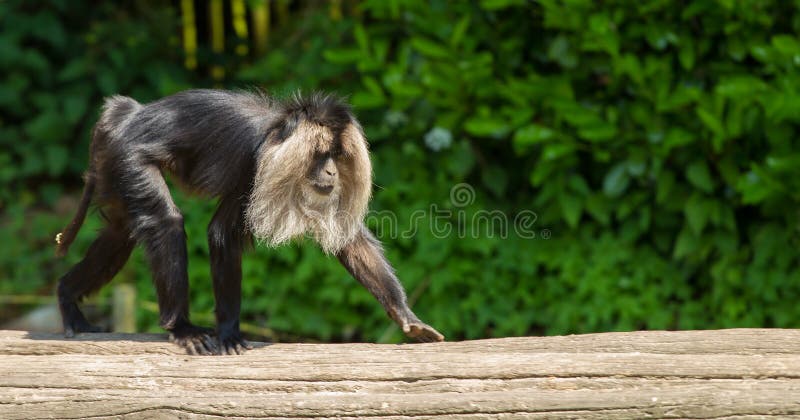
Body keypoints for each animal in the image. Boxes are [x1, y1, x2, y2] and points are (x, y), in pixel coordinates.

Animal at [54, 89, 444, 355]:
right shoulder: (254, 165)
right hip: (129, 157)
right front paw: (229, 332)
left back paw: (67, 299)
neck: (281, 135)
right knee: (165, 222)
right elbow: (221, 234)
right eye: (321, 156)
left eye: (336, 155)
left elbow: (351, 240)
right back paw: (181, 328)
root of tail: (128, 115)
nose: (332, 171)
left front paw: (405, 315)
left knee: (121, 233)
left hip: (115, 164)